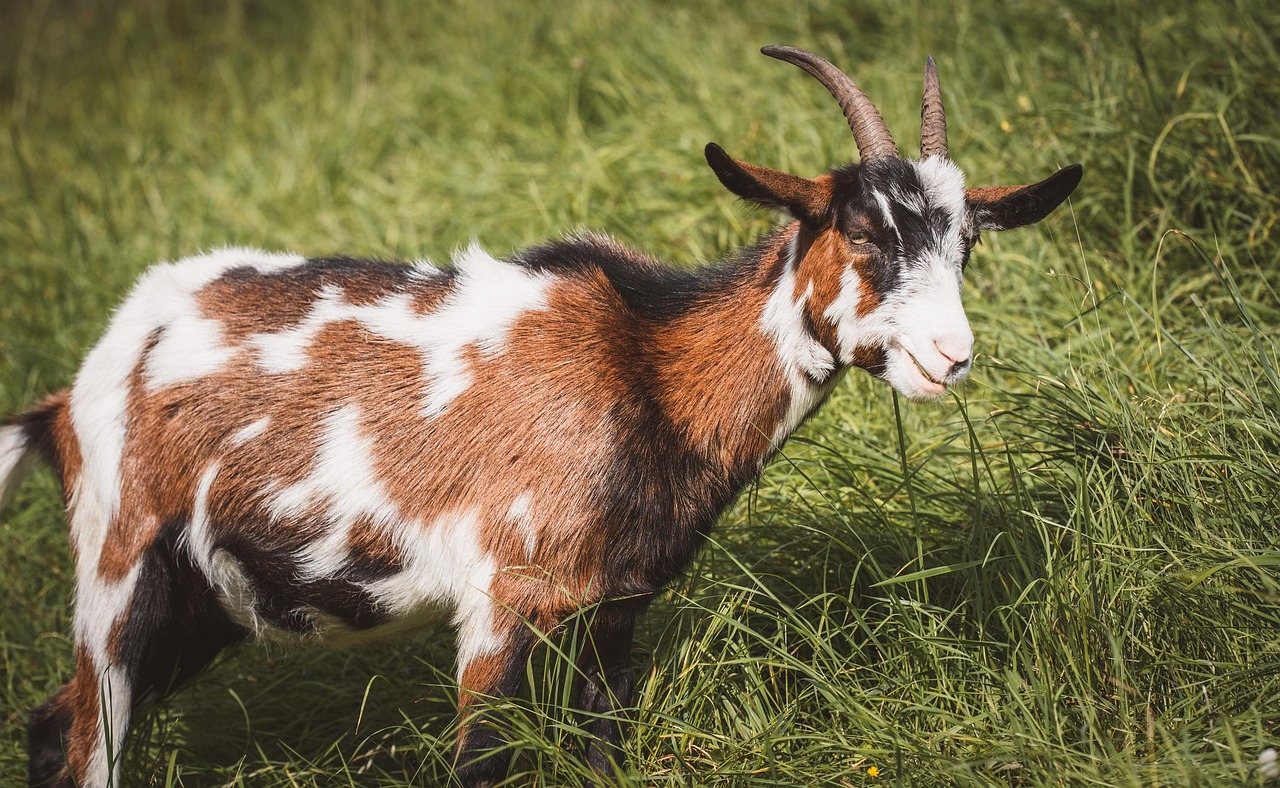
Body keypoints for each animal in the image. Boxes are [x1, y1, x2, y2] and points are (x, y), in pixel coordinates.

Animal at [1, 46, 1081, 787]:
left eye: (966, 244)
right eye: (860, 231)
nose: (951, 356)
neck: (647, 362)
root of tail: (74, 390)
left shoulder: (614, 609)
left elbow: (602, 751)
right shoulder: (505, 594)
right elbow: (480, 760)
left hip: (201, 597)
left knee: (51, 729)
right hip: (119, 565)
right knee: (88, 742)